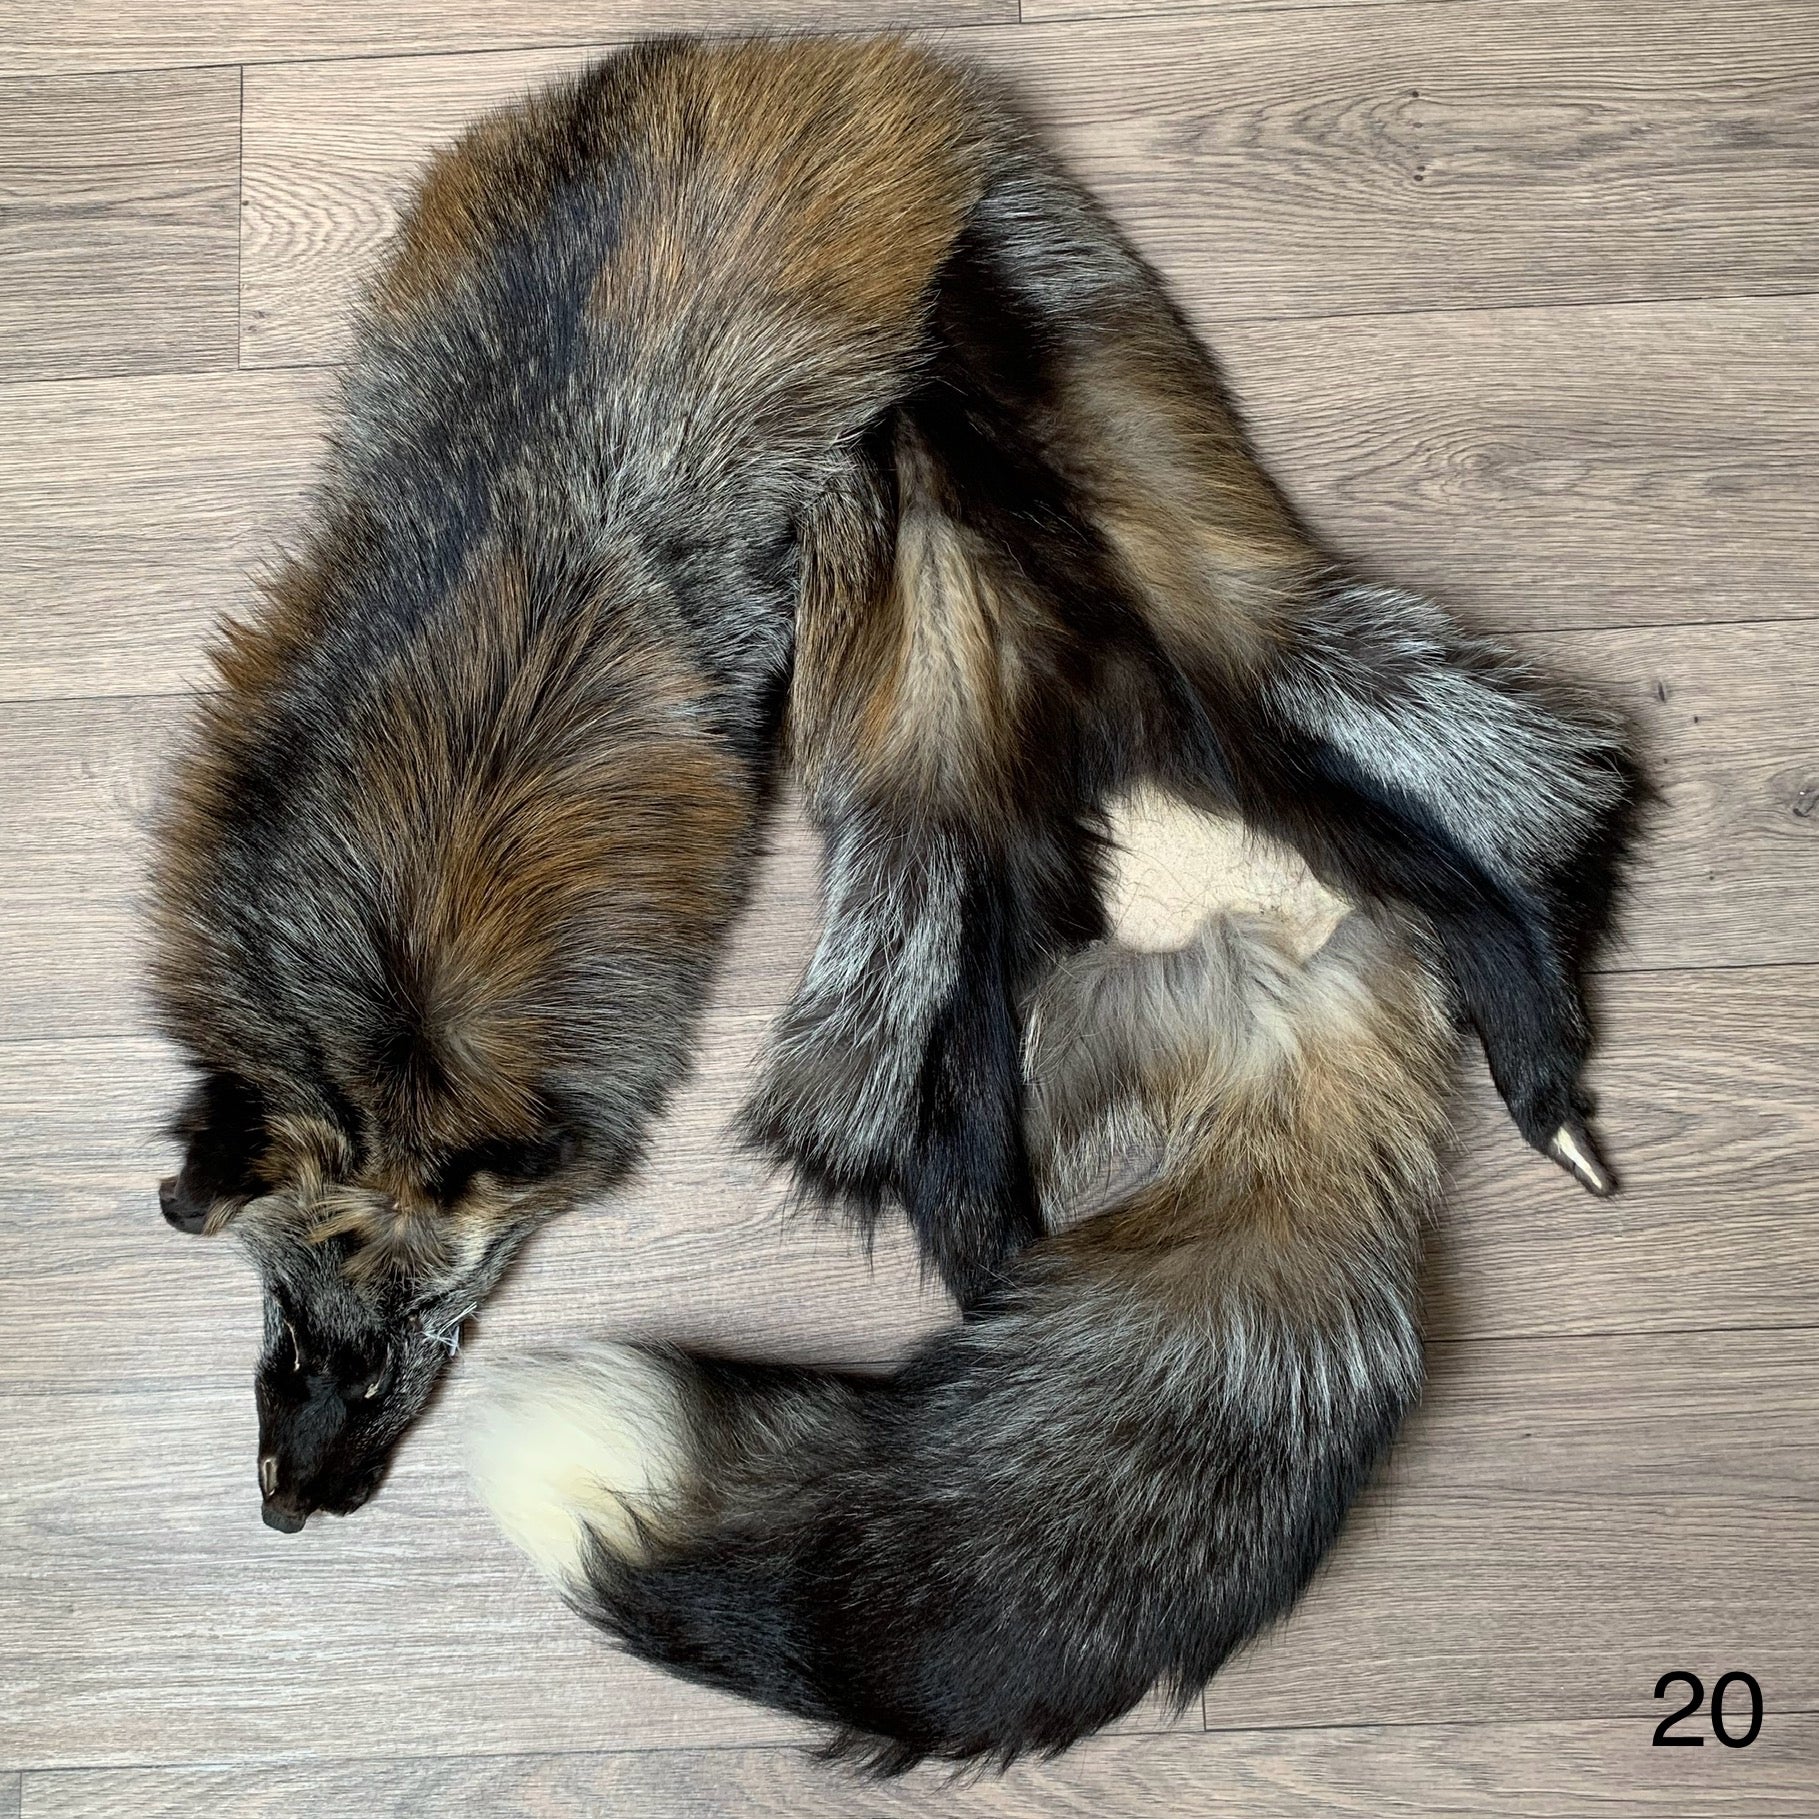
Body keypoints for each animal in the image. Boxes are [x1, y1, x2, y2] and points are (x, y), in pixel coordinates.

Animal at [147, 33, 1635, 1755]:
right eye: (286, 1318)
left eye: (419, 1329)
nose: (288, 1506)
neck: (403, 937)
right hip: (1005, 812)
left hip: (1033, 751)